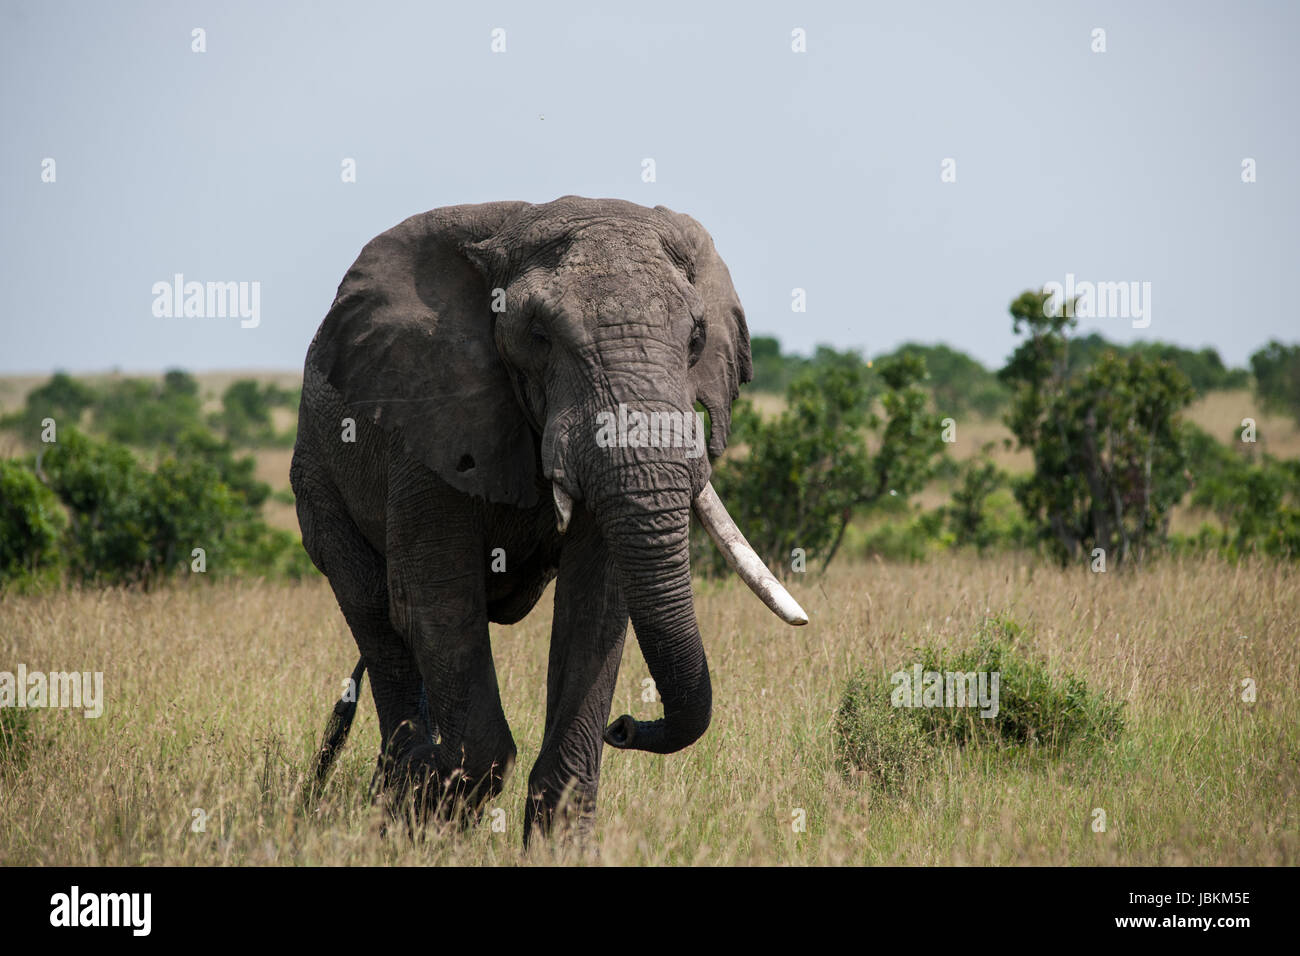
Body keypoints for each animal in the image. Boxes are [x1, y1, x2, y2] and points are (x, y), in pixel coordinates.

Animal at [291, 196, 807, 845]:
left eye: (695, 339)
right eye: (539, 338)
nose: (626, 726)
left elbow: (594, 608)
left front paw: (559, 842)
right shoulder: (428, 427)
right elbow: (434, 605)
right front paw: (431, 810)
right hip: (317, 478)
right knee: (375, 614)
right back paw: (402, 789)